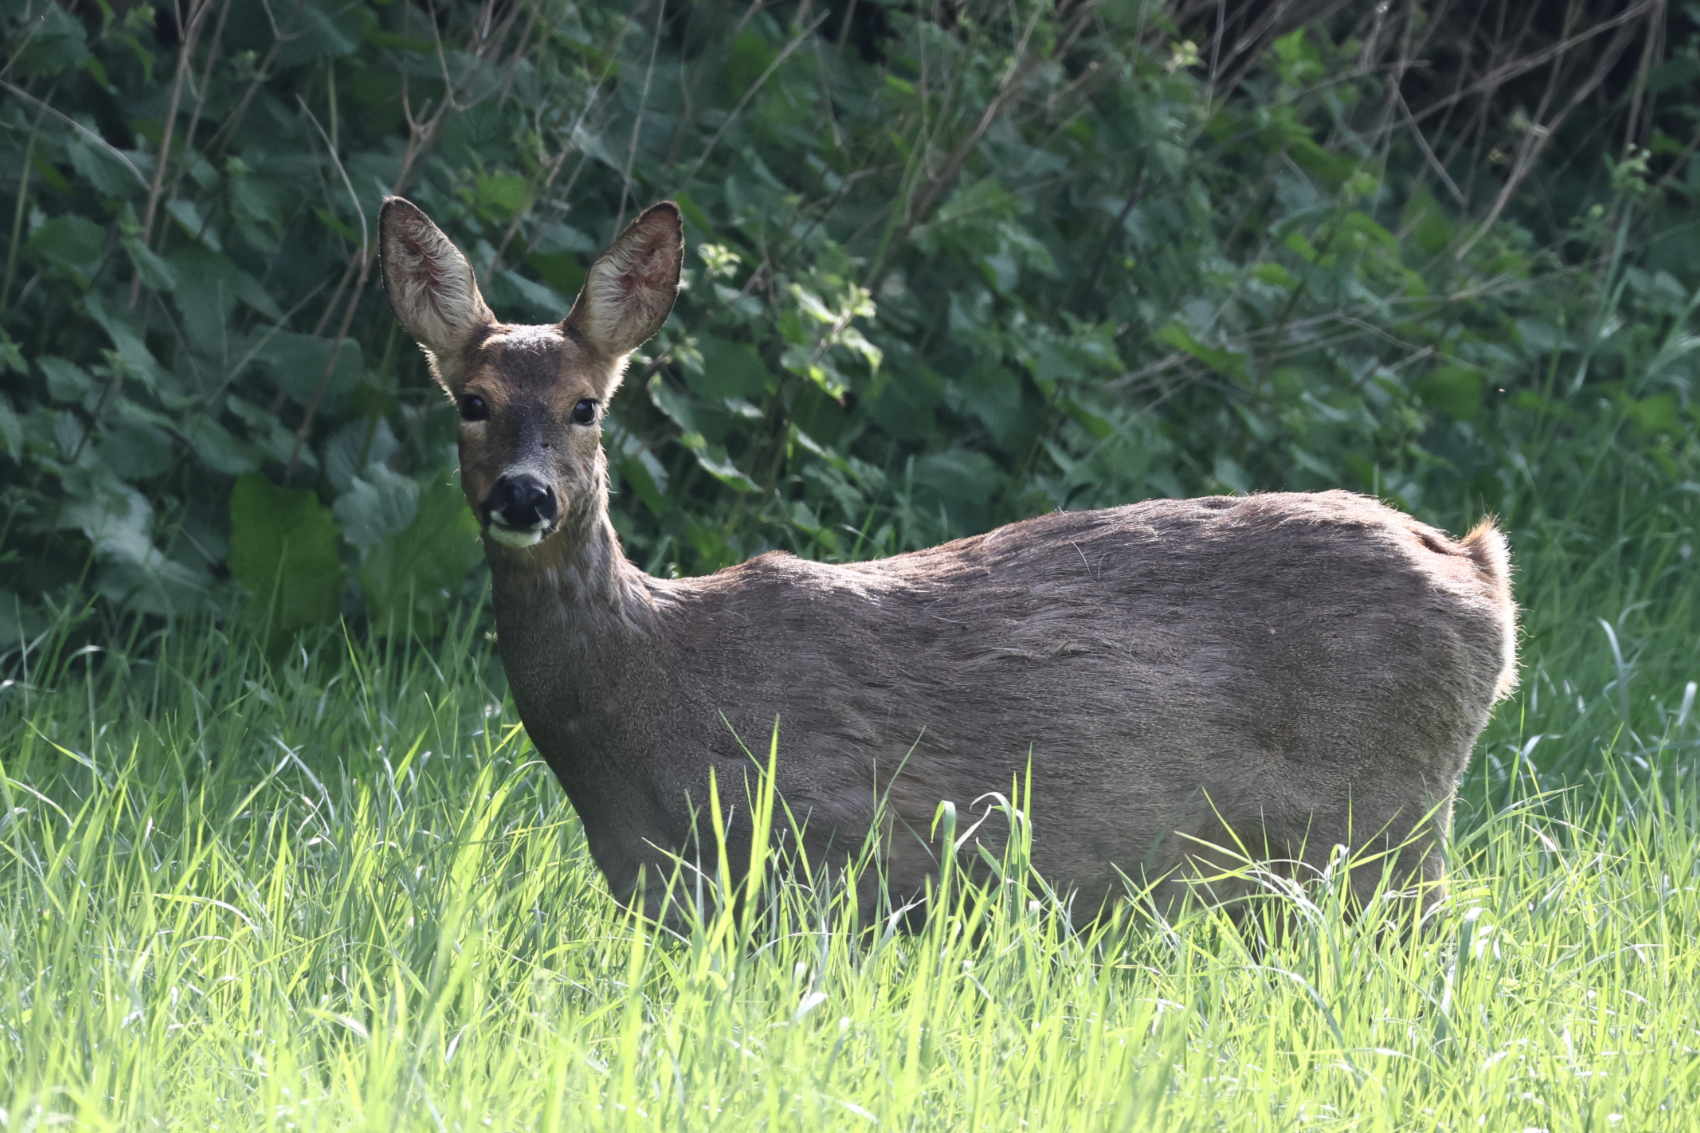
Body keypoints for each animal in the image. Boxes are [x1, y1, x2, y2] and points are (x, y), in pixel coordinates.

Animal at [377, 195, 1518, 926]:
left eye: (587, 405)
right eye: (470, 401)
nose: (525, 495)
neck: (643, 699)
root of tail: (1483, 577)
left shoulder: (821, 853)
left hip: (1381, 828)